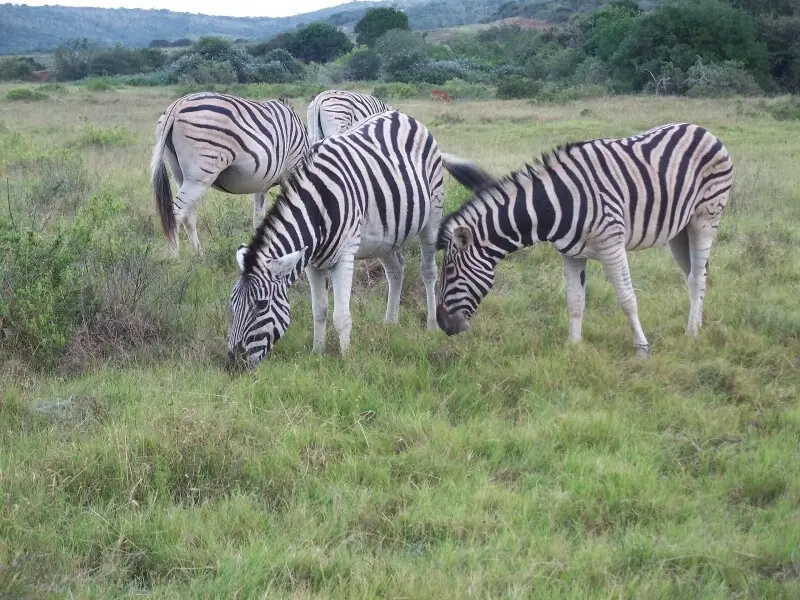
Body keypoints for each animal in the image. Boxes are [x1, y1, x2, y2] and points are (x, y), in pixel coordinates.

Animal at [150, 92, 309, 257]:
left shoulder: (263, 183)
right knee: (175, 213)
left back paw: (199, 256)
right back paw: (174, 257)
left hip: (178, 172)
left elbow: (259, 217)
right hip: (200, 174)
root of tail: (177, 106)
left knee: (187, 214)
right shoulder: (289, 173)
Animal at [227, 110, 444, 368]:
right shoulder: (310, 261)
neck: (317, 208)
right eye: (232, 303)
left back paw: (432, 325)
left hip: (432, 215)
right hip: (386, 237)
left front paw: (347, 361)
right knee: (396, 270)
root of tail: (402, 115)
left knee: (428, 271)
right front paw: (317, 353)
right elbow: (319, 309)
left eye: (261, 305)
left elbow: (341, 315)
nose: (233, 362)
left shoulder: (345, 256)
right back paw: (390, 323)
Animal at [436, 123, 734, 356]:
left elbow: (627, 298)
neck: (553, 205)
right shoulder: (571, 254)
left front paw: (641, 348)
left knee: (697, 277)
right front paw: (574, 346)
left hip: (705, 218)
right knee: (695, 273)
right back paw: (697, 324)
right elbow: (575, 301)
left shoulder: (612, 245)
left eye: (449, 271)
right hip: (678, 231)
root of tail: (700, 129)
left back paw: (691, 333)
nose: (442, 325)